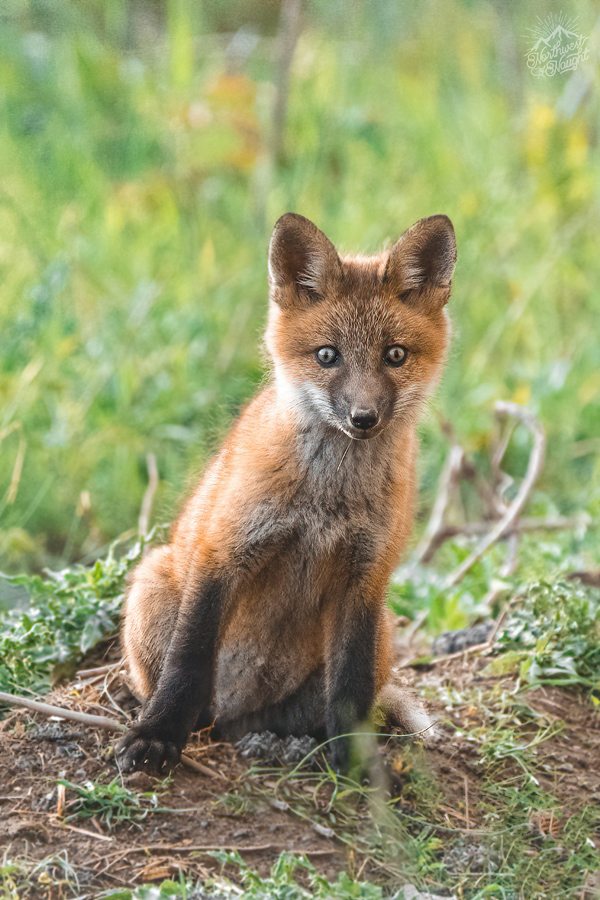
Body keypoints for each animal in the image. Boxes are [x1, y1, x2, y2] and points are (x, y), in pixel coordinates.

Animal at [117, 211, 457, 774]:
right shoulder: (226, 550)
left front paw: (355, 766)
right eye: (327, 356)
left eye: (395, 355)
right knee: (181, 692)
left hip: (381, 630)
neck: (328, 500)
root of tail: (238, 715)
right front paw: (158, 736)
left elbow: (350, 688)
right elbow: (187, 664)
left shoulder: (366, 577)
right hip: (151, 582)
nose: (363, 419)